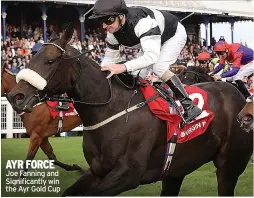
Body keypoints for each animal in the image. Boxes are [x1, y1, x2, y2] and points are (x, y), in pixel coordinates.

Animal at [6, 24, 254, 196]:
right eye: (32, 56)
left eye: (50, 60)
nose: (15, 96)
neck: (111, 110)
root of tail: (240, 97)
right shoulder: (97, 171)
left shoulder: (128, 175)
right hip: (176, 169)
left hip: (229, 166)